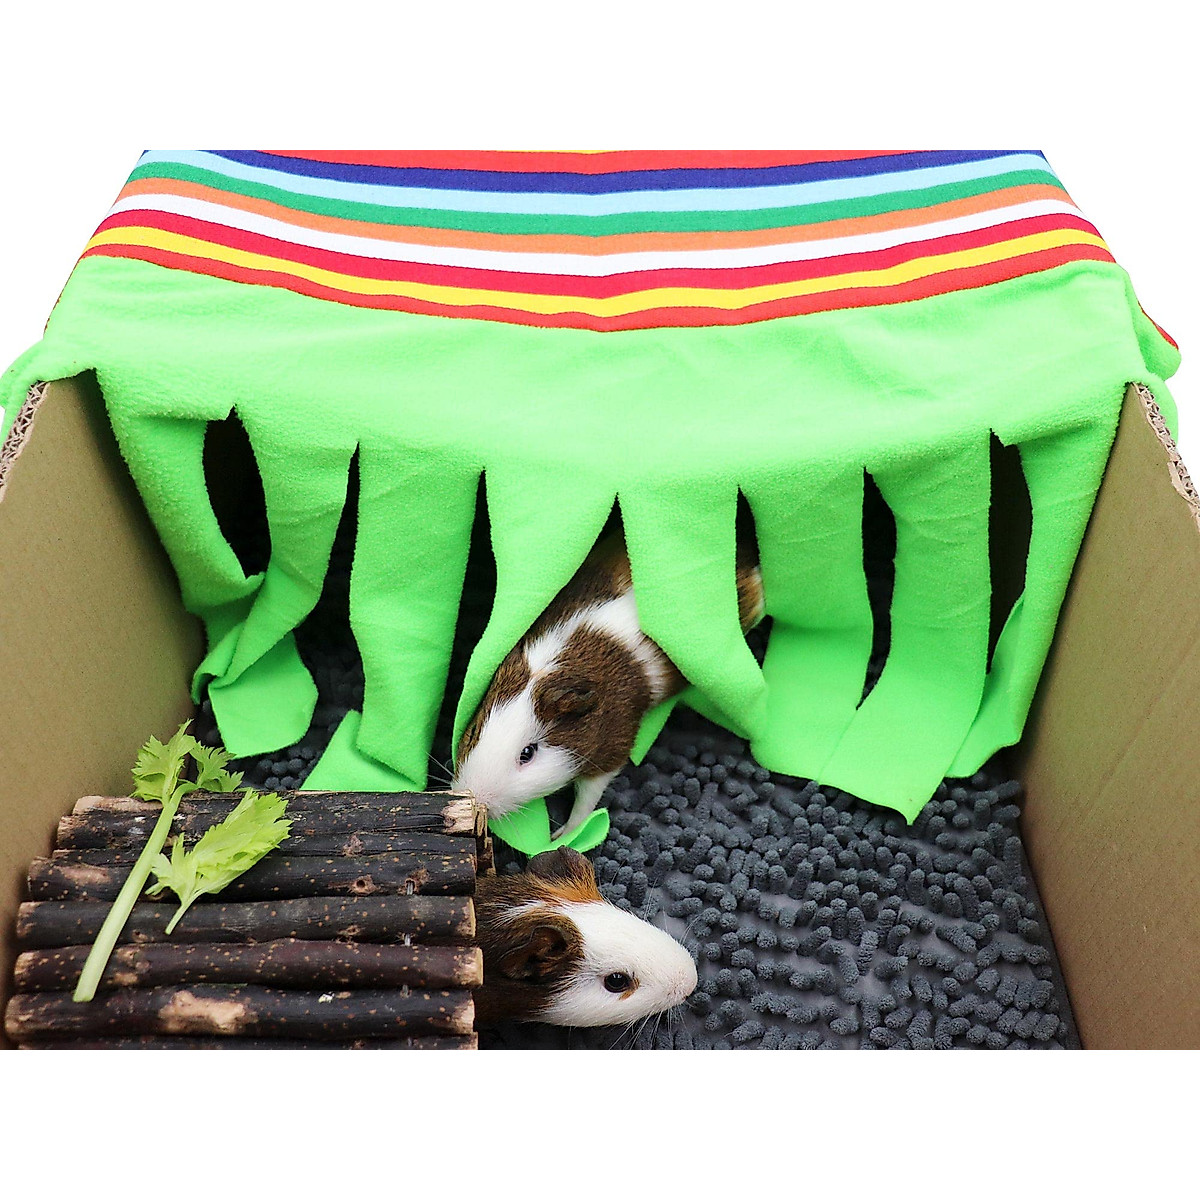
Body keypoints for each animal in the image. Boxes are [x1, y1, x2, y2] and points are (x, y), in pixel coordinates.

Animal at [453, 532, 763, 843]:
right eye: (474, 732)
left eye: (527, 753)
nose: (475, 799)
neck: (552, 670)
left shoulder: (612, 750)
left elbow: (587, 799)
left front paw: (562, 836)